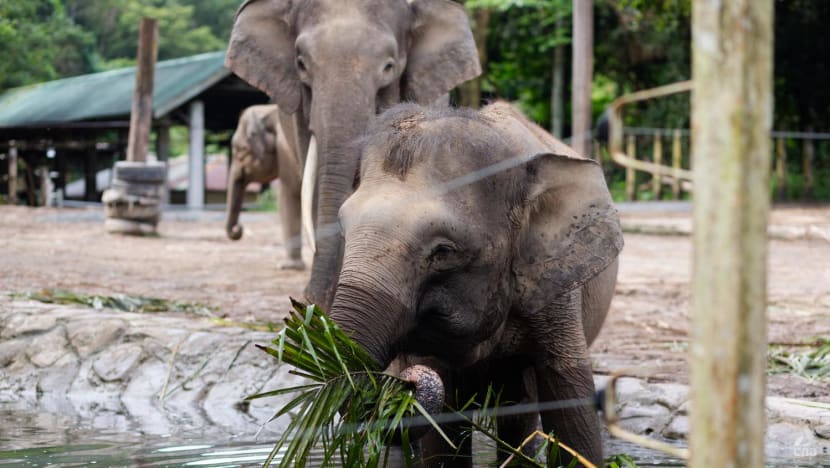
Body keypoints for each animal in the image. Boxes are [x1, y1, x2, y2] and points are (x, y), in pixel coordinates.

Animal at [225, 104, 305, 270]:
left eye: (240, 151)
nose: (239, 229)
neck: (268, 111)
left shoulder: (284, 149)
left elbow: (289, 194)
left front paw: (288, 266)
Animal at [328, 102, 624, 466]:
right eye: (343, 230)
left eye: (443, 251)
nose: (405, 383)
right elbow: (443, 431)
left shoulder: (556, 290)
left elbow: (572, 410)